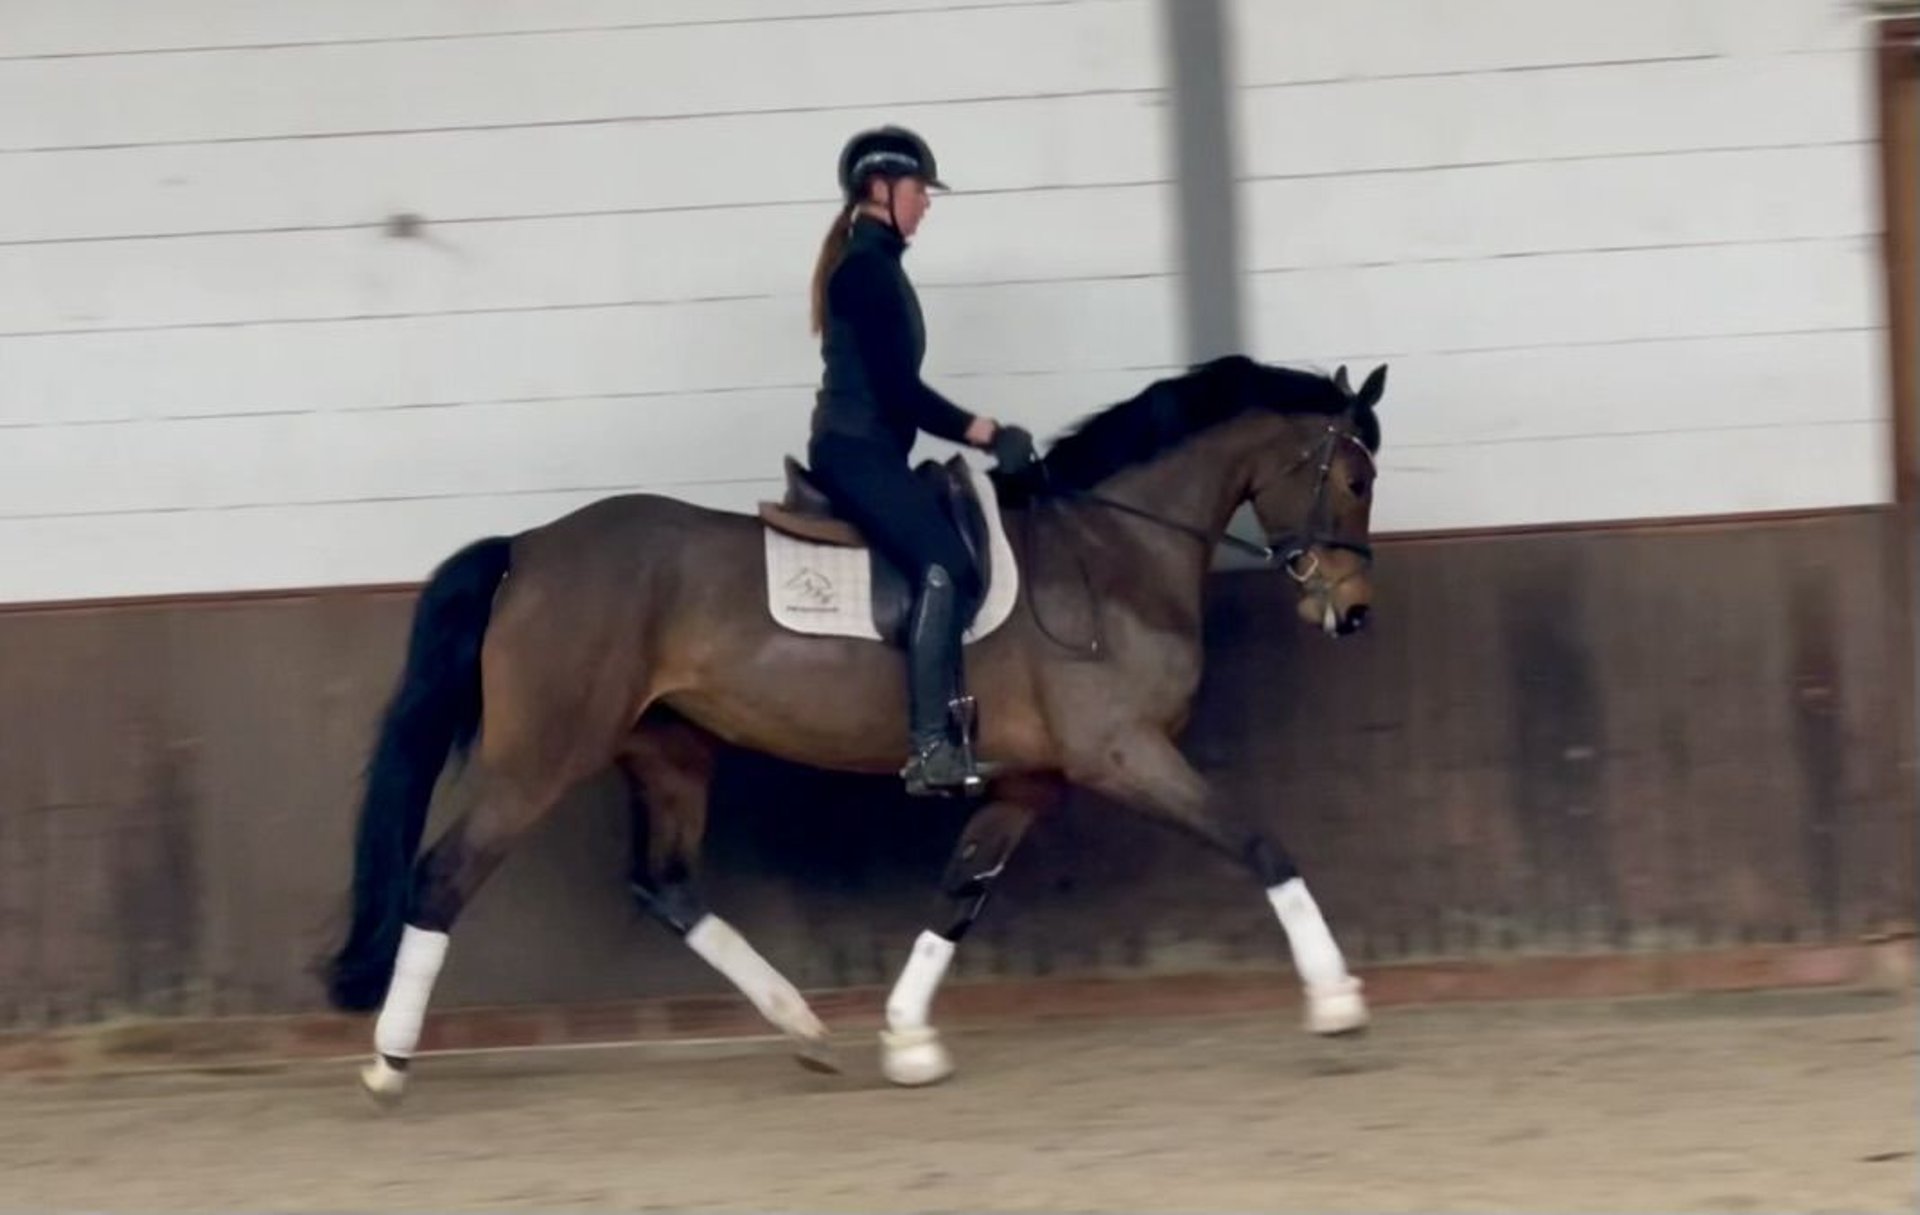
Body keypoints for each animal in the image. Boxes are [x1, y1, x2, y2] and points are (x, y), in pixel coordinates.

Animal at [321, 352, 1389, 1102]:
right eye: (1354, 477)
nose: (1351, 612)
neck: (1110, 549)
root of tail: (527, 549)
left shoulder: (1027, 782)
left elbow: (959, 893)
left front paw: (908, 1037)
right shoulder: (1122, 752)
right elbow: (1260, 842)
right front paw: (1336, 1001)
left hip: (668, 748)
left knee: (665, 884)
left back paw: (803, 1027)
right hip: (543, 754)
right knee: (442, 875)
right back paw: (387, 1061)